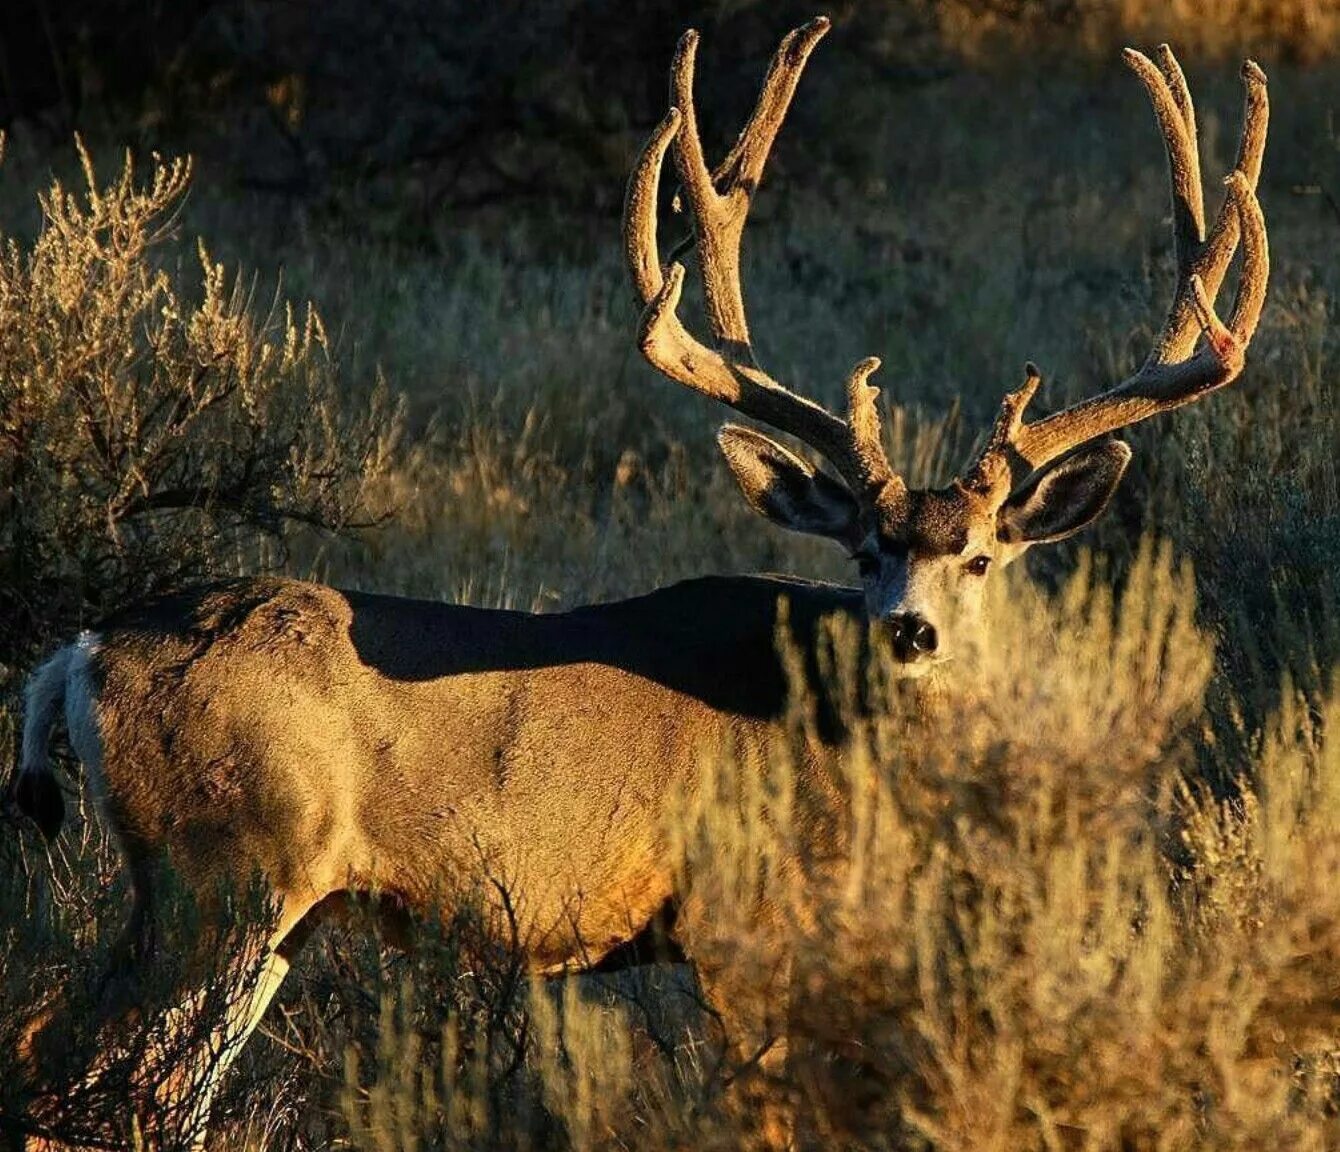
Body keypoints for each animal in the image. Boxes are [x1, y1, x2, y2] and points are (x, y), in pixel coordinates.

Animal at [8, 16, 1267, 1151]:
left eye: (983, 556)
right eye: (864, 548)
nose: (909, 633)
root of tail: (80, 650)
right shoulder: (741, 918)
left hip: (276, 909)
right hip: (220, 868)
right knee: (63, 1062)